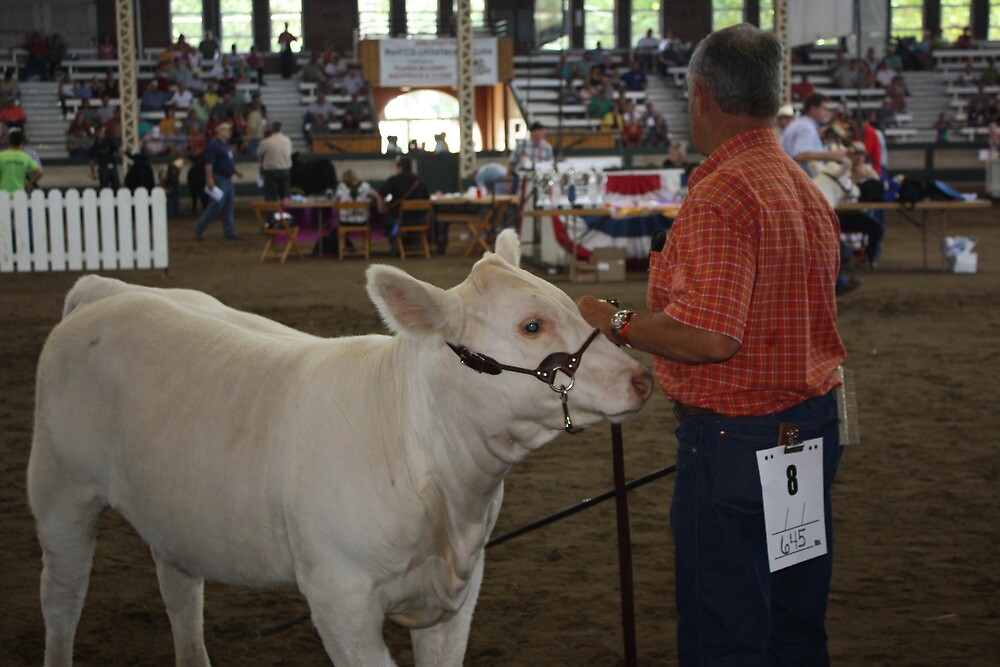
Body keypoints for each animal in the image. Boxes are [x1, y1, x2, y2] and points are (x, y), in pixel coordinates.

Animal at [28, 230, 653, 667]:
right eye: (531, 325)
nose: (642, 379)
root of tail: (109, 291)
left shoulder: (460, 592)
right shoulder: (339, 599)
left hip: (173, 510)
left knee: (180, 590)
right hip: (60, 494)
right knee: (61, 599)